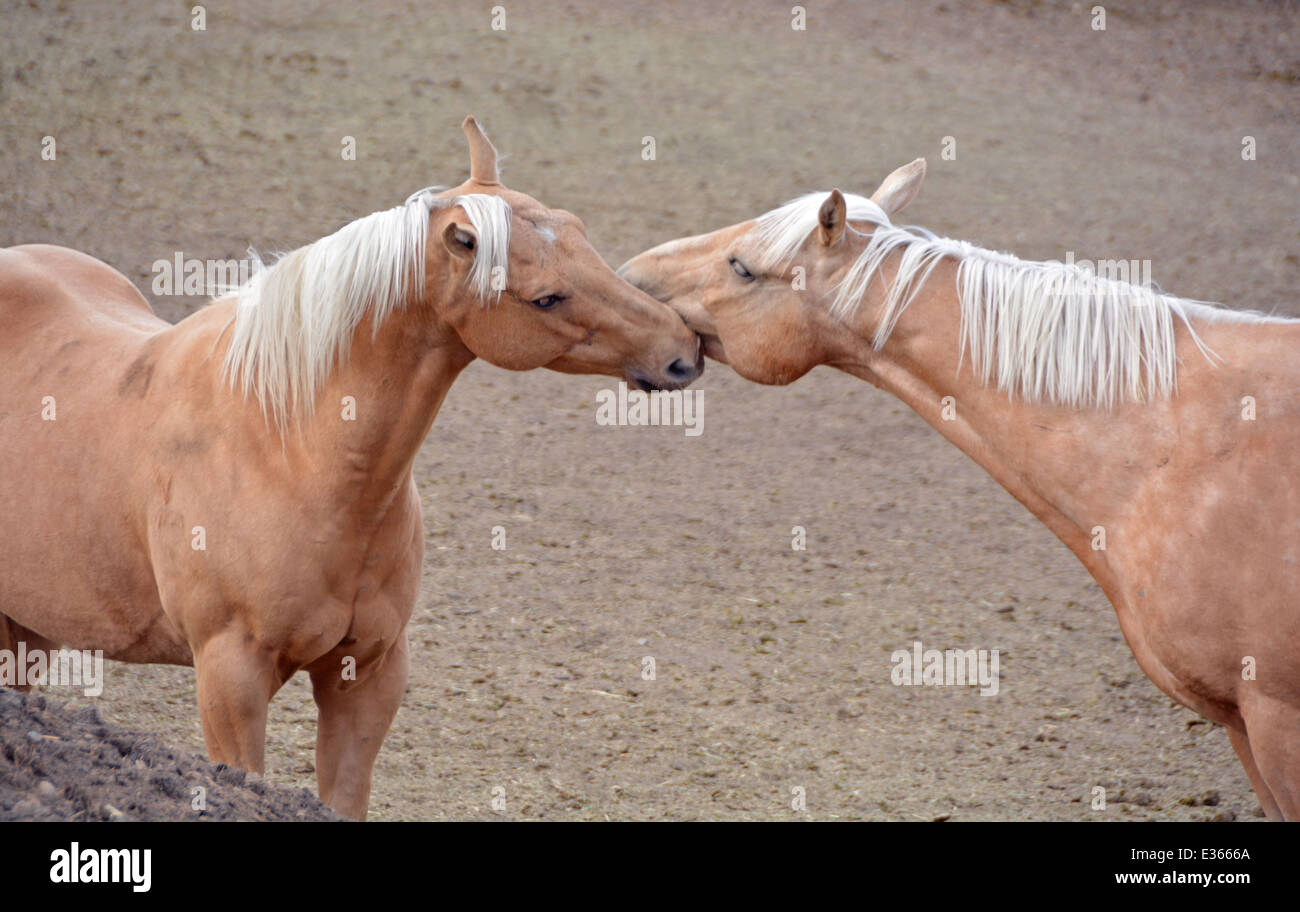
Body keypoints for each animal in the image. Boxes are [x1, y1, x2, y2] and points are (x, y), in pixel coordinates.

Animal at [0, 116, 702, 819]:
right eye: (546, 298)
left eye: (580, 233)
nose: (684, 349)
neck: (289, 453)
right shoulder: (230, 678)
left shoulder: (369, 673)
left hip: (31, 631)